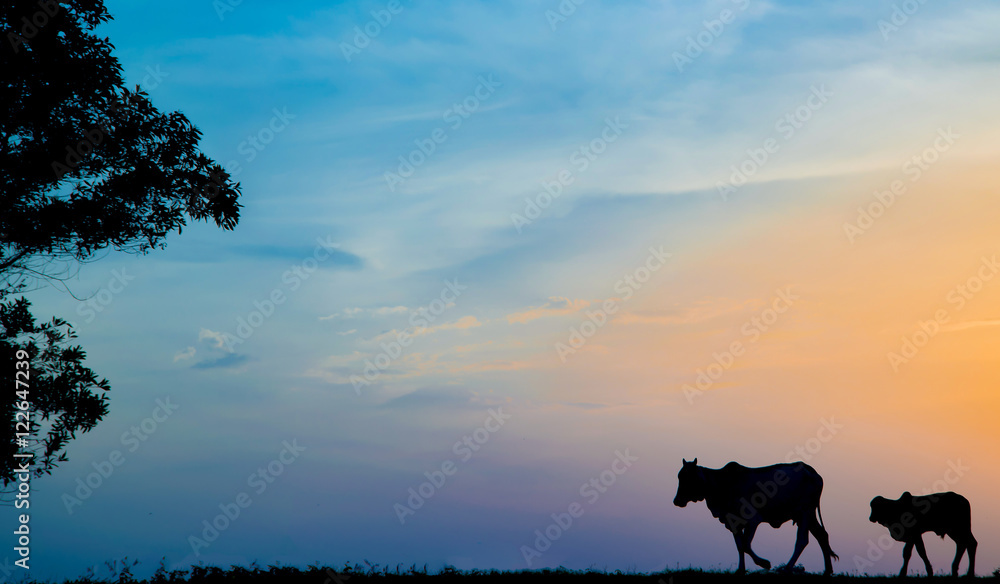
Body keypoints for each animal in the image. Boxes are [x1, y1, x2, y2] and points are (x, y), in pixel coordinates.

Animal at [673, 458, 838, 575]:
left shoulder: (752, 520)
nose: (677, 501)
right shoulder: (733, 522)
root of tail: (810, 470)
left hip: (804, 512)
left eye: (688, 478)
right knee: (822, 536)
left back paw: (786, 568)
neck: (722, 484)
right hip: (807, 515)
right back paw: (828, 570)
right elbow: (740, 546)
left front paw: (765, 563)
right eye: (679, 477)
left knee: (802, 540)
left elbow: (746, 545)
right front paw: (740, 570)